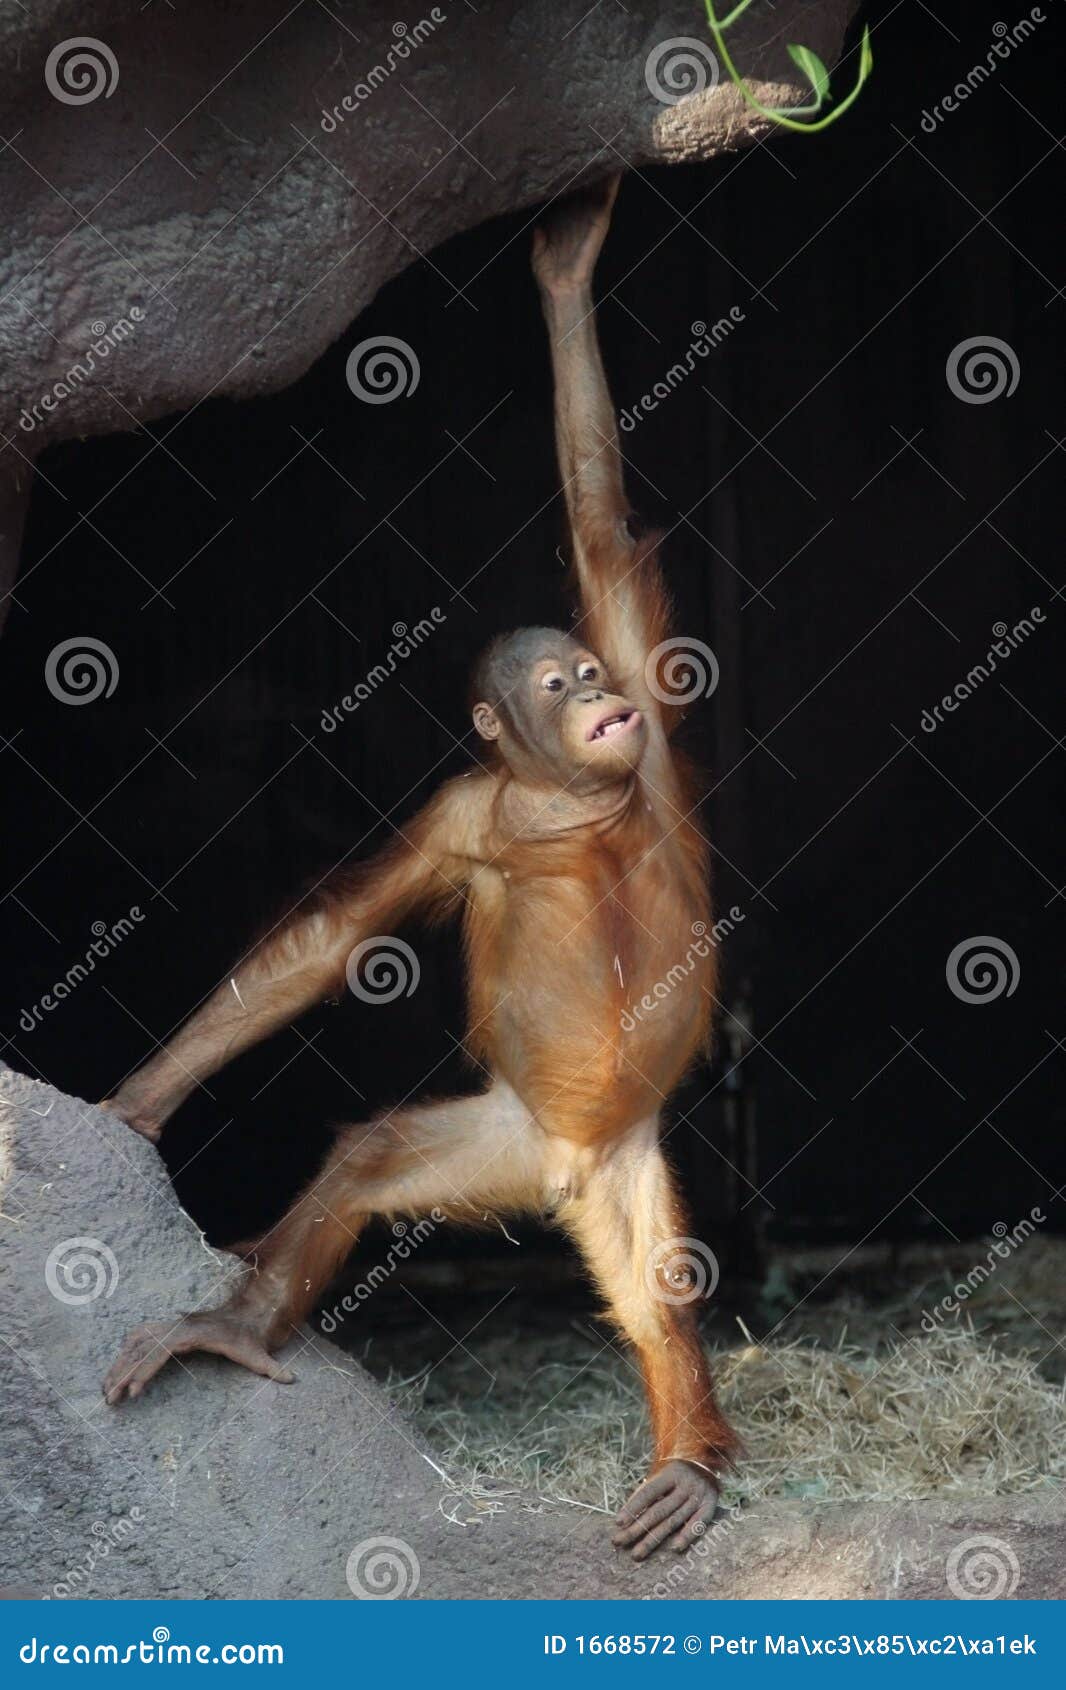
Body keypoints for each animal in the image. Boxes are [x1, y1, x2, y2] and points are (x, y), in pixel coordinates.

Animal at [100, 175, 741, 1562]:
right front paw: (140, 1099)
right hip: (502, 1141)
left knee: (664, 1289)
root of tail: (570, 1173)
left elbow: (598, 521)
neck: (572, 801)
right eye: (555, 685)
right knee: (369, 1160)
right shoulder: (460, 817)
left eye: (592, 673)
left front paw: (563, 274)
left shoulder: (646, 708)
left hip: (619, 1159)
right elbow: (333, 941)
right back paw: (236, 1325)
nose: (596, 701)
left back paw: (685, 1462)